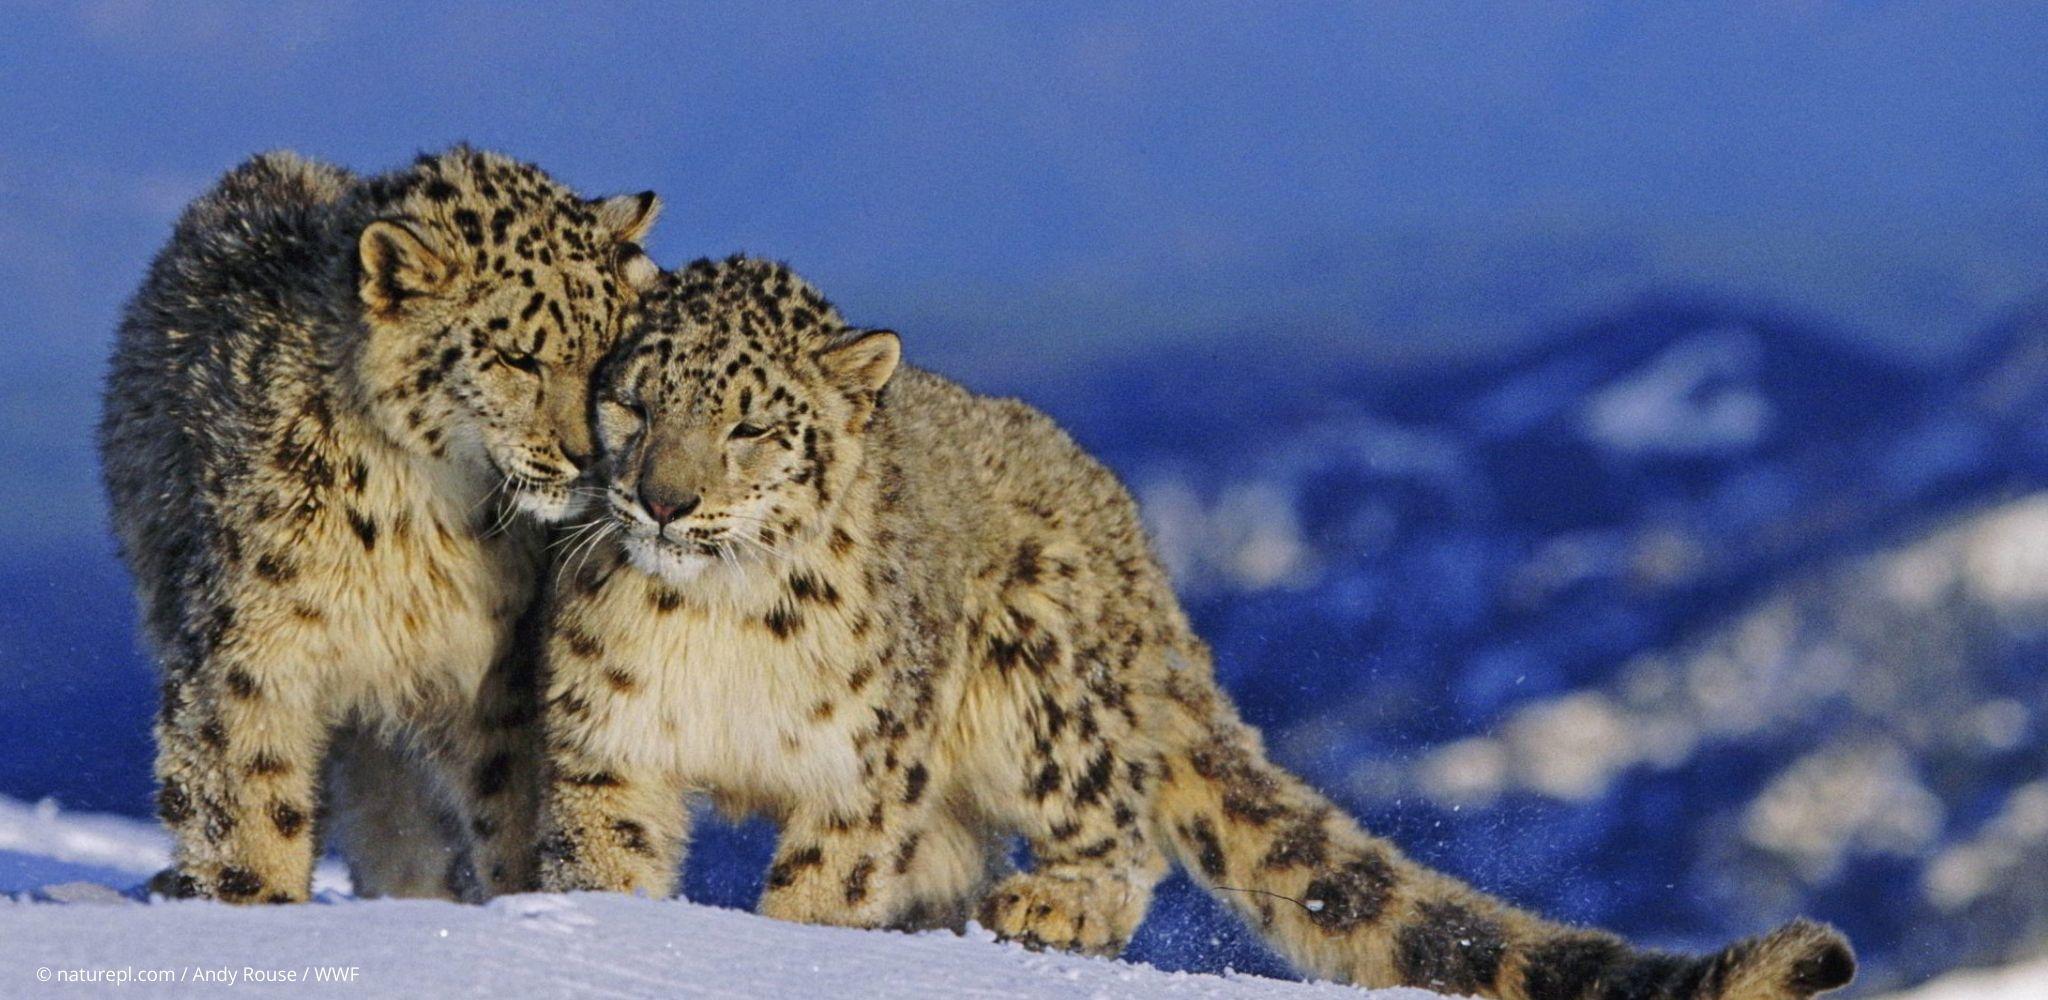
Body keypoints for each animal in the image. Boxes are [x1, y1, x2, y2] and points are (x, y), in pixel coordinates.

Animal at [98, 145, 660, 904]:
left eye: (612, 354)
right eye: (516, 356)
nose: (589, 456)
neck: (420, 515)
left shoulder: (490, 671)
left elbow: (508, 808)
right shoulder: (250, 653)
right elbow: (249, 799)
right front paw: (259, 899)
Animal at [534, 255, 1856, 999]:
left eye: (751, 426)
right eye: (631, 399)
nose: (661, 499)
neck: (717, 622)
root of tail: (1140, 554)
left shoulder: (861, 773)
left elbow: (822, 886)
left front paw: (793, 942)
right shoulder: (604, 740)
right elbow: (605, 860)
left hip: (1044, 681)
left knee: (1119, 834)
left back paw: (1054, 902)